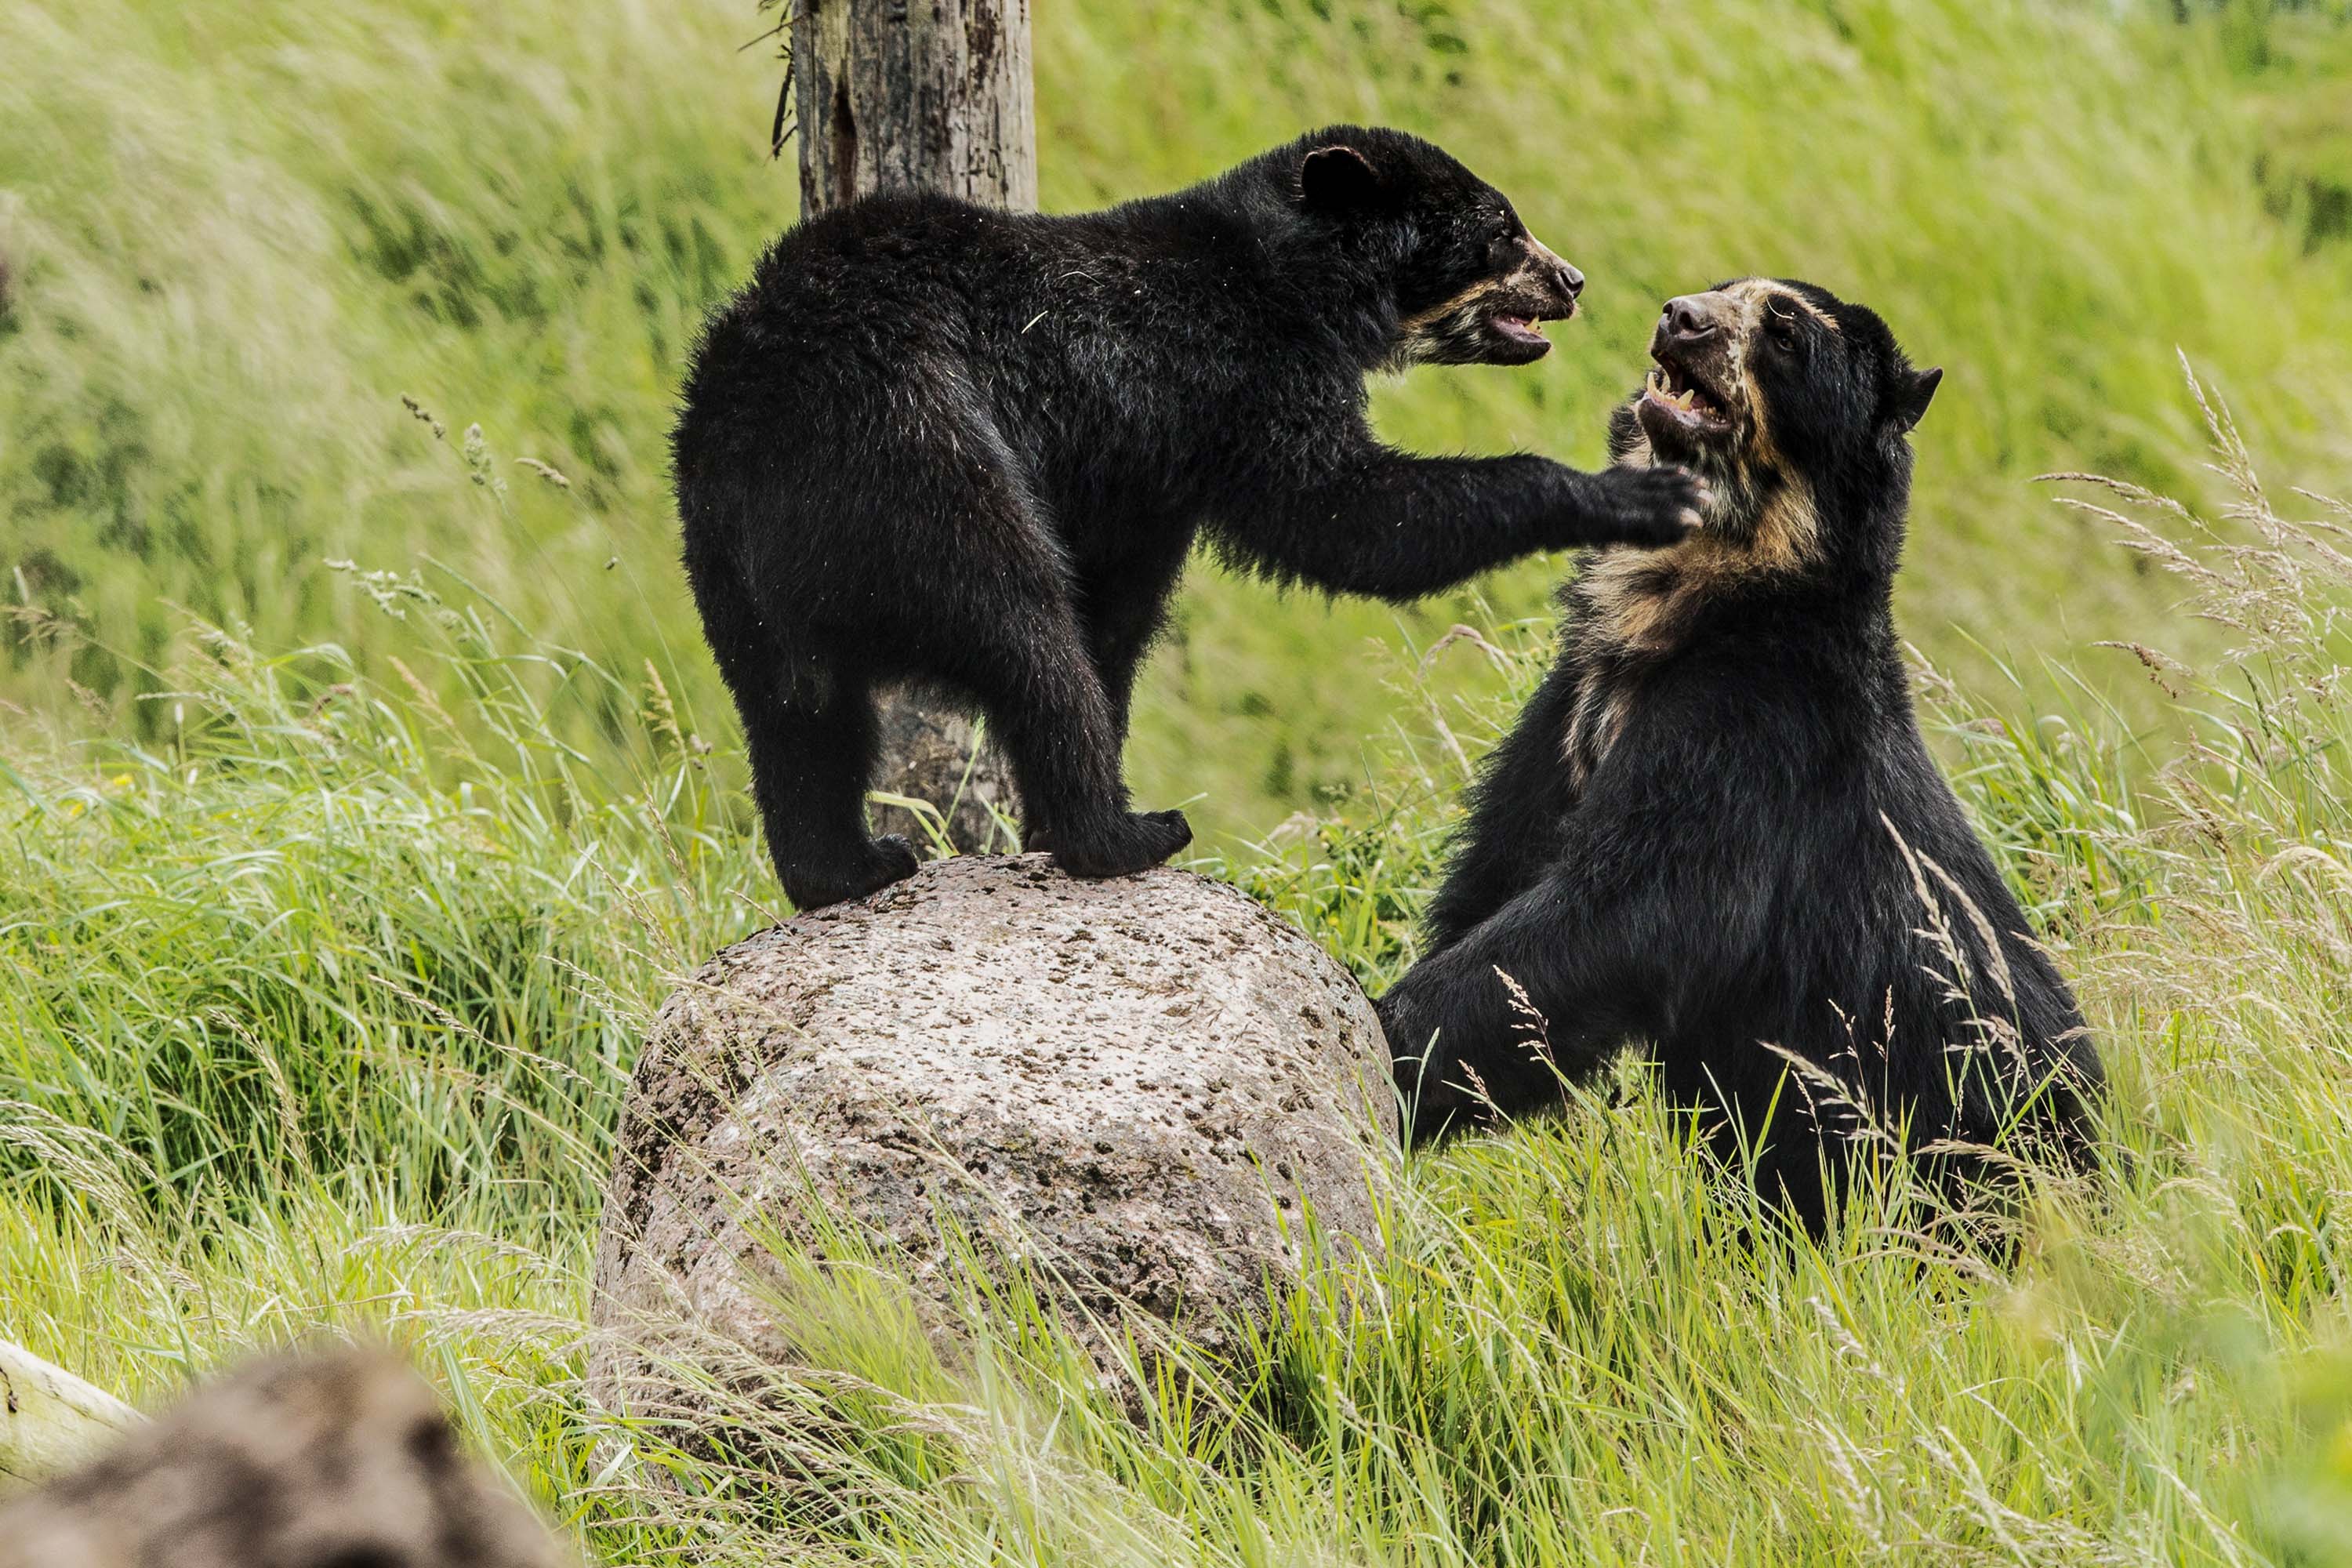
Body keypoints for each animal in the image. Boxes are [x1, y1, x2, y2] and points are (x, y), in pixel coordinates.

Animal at [671, 126, 1705, 911]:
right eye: (1499, 229)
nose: (1572, 278)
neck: (1298, 279)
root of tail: (762, 397)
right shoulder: (1236, 376)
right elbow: (1345, 512)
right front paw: (1635, 494)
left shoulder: (1140, 472)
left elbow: (1123, 611)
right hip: (920, 452)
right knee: (1019, 627)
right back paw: (1124, 831)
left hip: (725, 551)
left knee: (799, 709)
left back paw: (845, 865)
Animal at [1373, 278, 2104, 1230]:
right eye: (1724, 289)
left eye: (1784, 331)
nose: (1679, 318)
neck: (1690, 601)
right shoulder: (1565, 717)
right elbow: (1497, 874)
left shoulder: (1753, 736)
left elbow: (1625, 911)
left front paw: (1384, 1038)